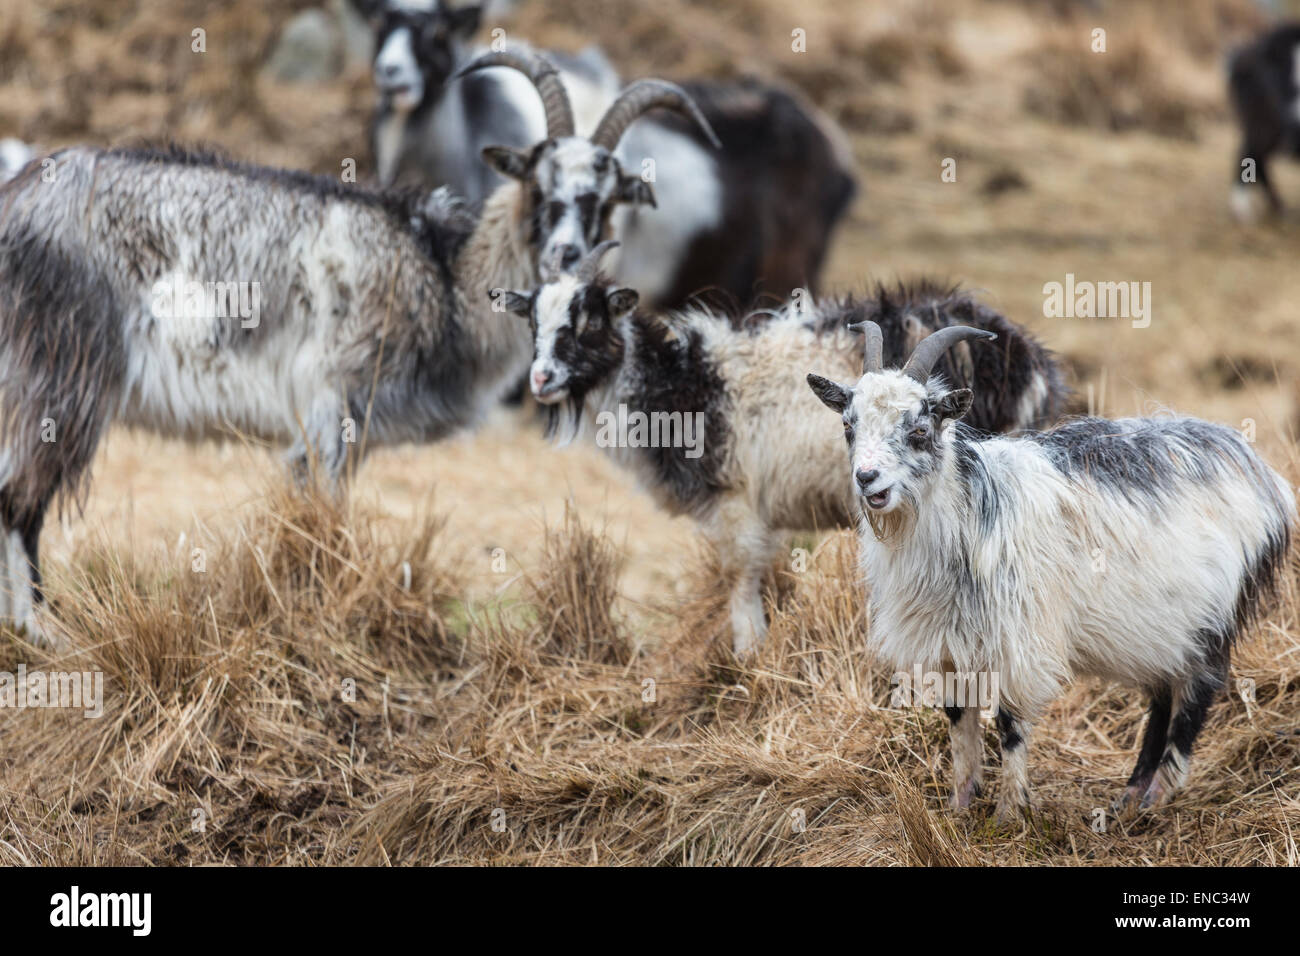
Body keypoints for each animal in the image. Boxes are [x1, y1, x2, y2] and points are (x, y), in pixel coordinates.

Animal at [498, 243, 1066, 655]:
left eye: (590, 321)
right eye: (533, 323)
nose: (541, 379)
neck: (687, 387)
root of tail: (1030, 362)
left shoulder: (736, 503)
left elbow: (740, 581)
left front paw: (750, 659)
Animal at [807, 323, 1295, 819]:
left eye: (920, 429)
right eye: (848, 426)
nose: (867, 478)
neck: (966, 517)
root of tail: (1263, 475)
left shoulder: (1018, 642)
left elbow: (1009, 725)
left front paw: (1008, 814)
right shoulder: (947, 648)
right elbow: (960, 725)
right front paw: (960, 808)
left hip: (1213, 617)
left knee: (1199, 690)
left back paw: (1158, 794)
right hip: (1166, 627)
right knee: (1163, 695)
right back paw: (1131, 793)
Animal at [1227, 22, 1300, 221]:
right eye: (1275, 75)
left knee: (1259, 158)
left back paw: (1277, 206)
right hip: (1259, 122)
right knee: (1249, 152)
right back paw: (1242, 209)